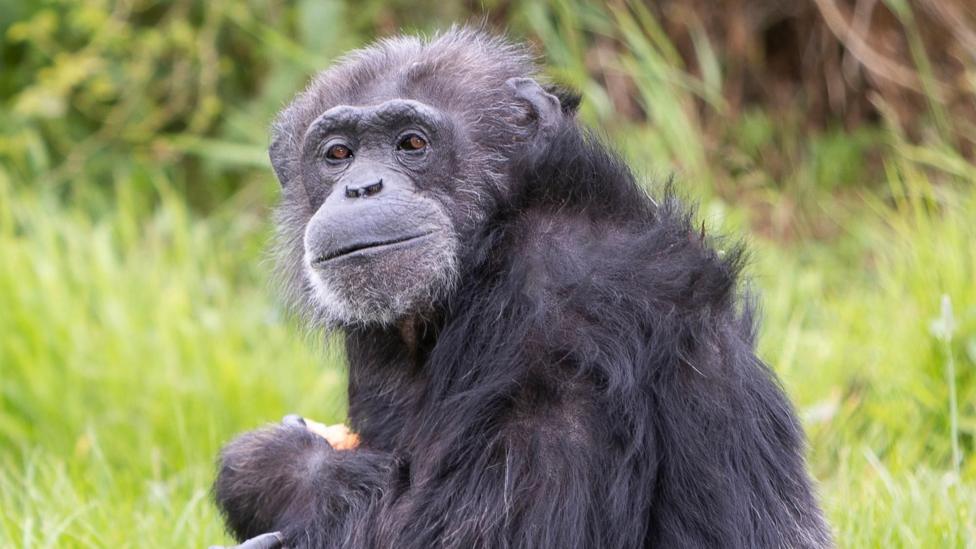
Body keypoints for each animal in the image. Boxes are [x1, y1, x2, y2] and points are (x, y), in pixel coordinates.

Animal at [211, 27, 832, 549]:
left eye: (412, 143)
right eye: (337, 154)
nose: (363, 187)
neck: (488, 248)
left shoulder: (568, 321)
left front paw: (269, 463)